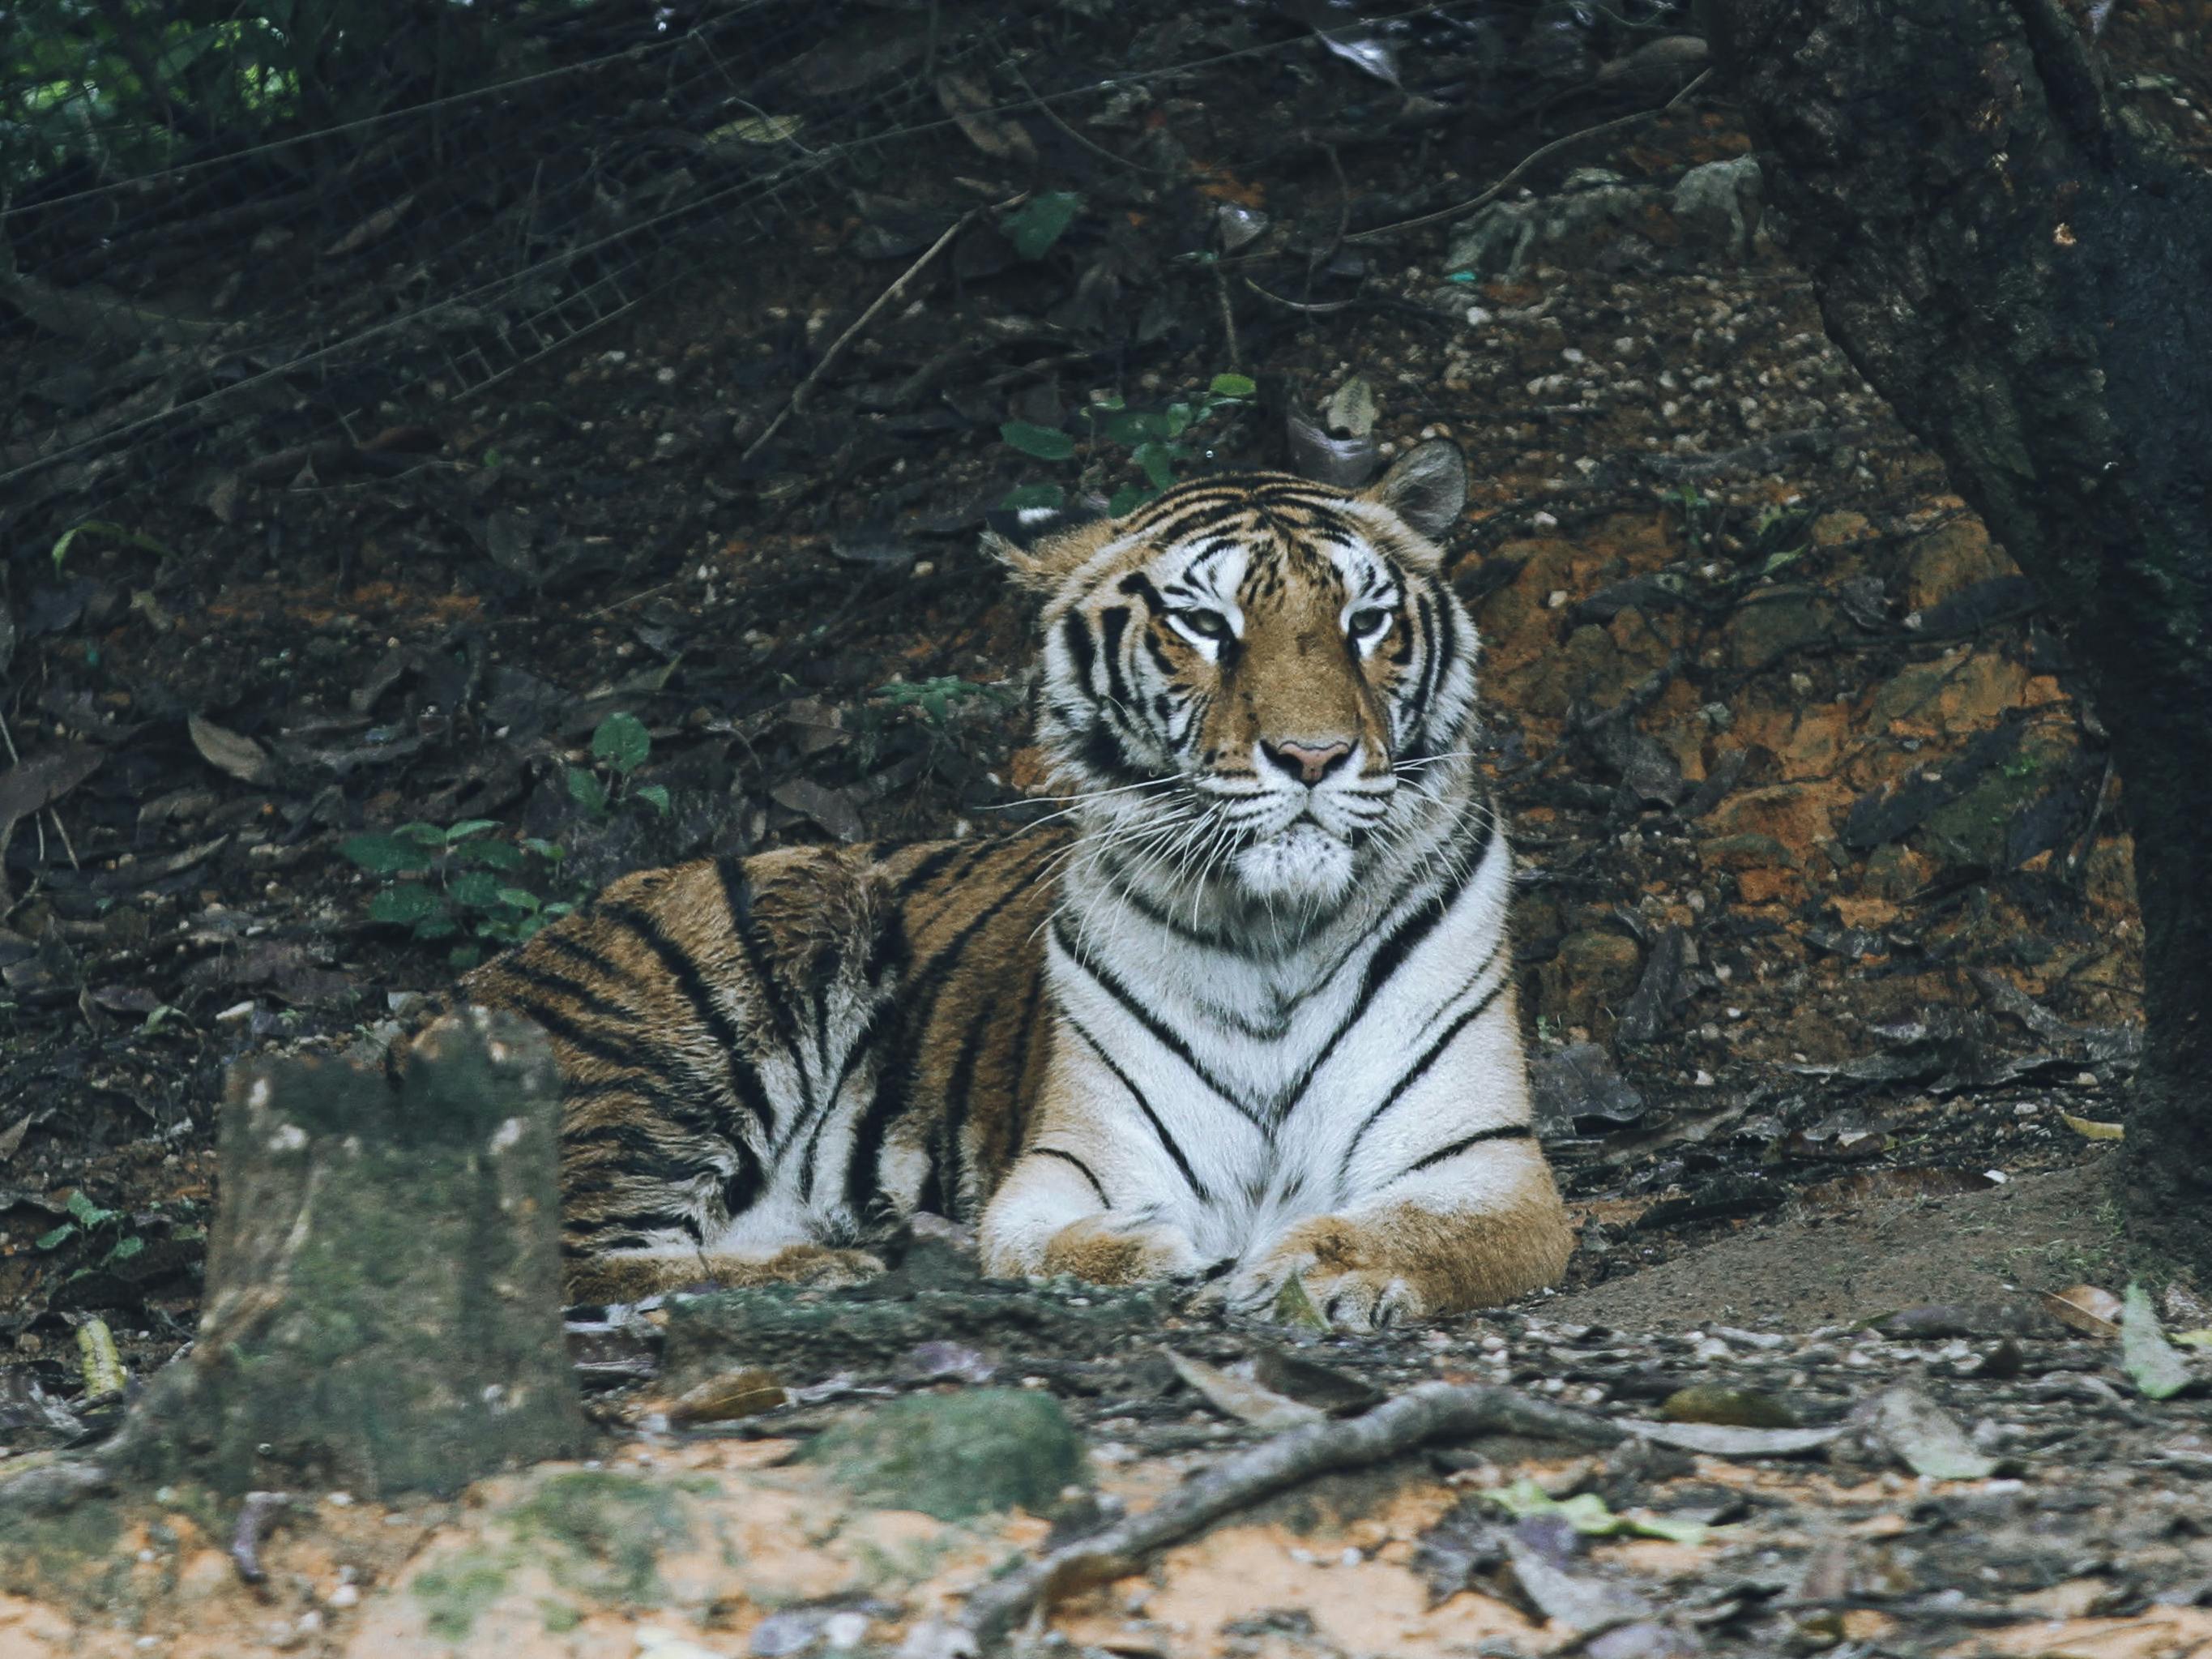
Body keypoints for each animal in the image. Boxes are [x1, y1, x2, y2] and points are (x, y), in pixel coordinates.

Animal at [458, 438, 1574, 1327]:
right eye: (1206, 626)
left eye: (1367, 621)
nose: (1314, 756)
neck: (1275, 940)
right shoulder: (1075, 1163)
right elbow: (1043, 1239)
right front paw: (1161, 1248)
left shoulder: (1485, 1166)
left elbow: (1396, 1231)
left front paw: (1308, 1269)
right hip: (665, 1061)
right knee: (573, 1266)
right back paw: (833, 1265)